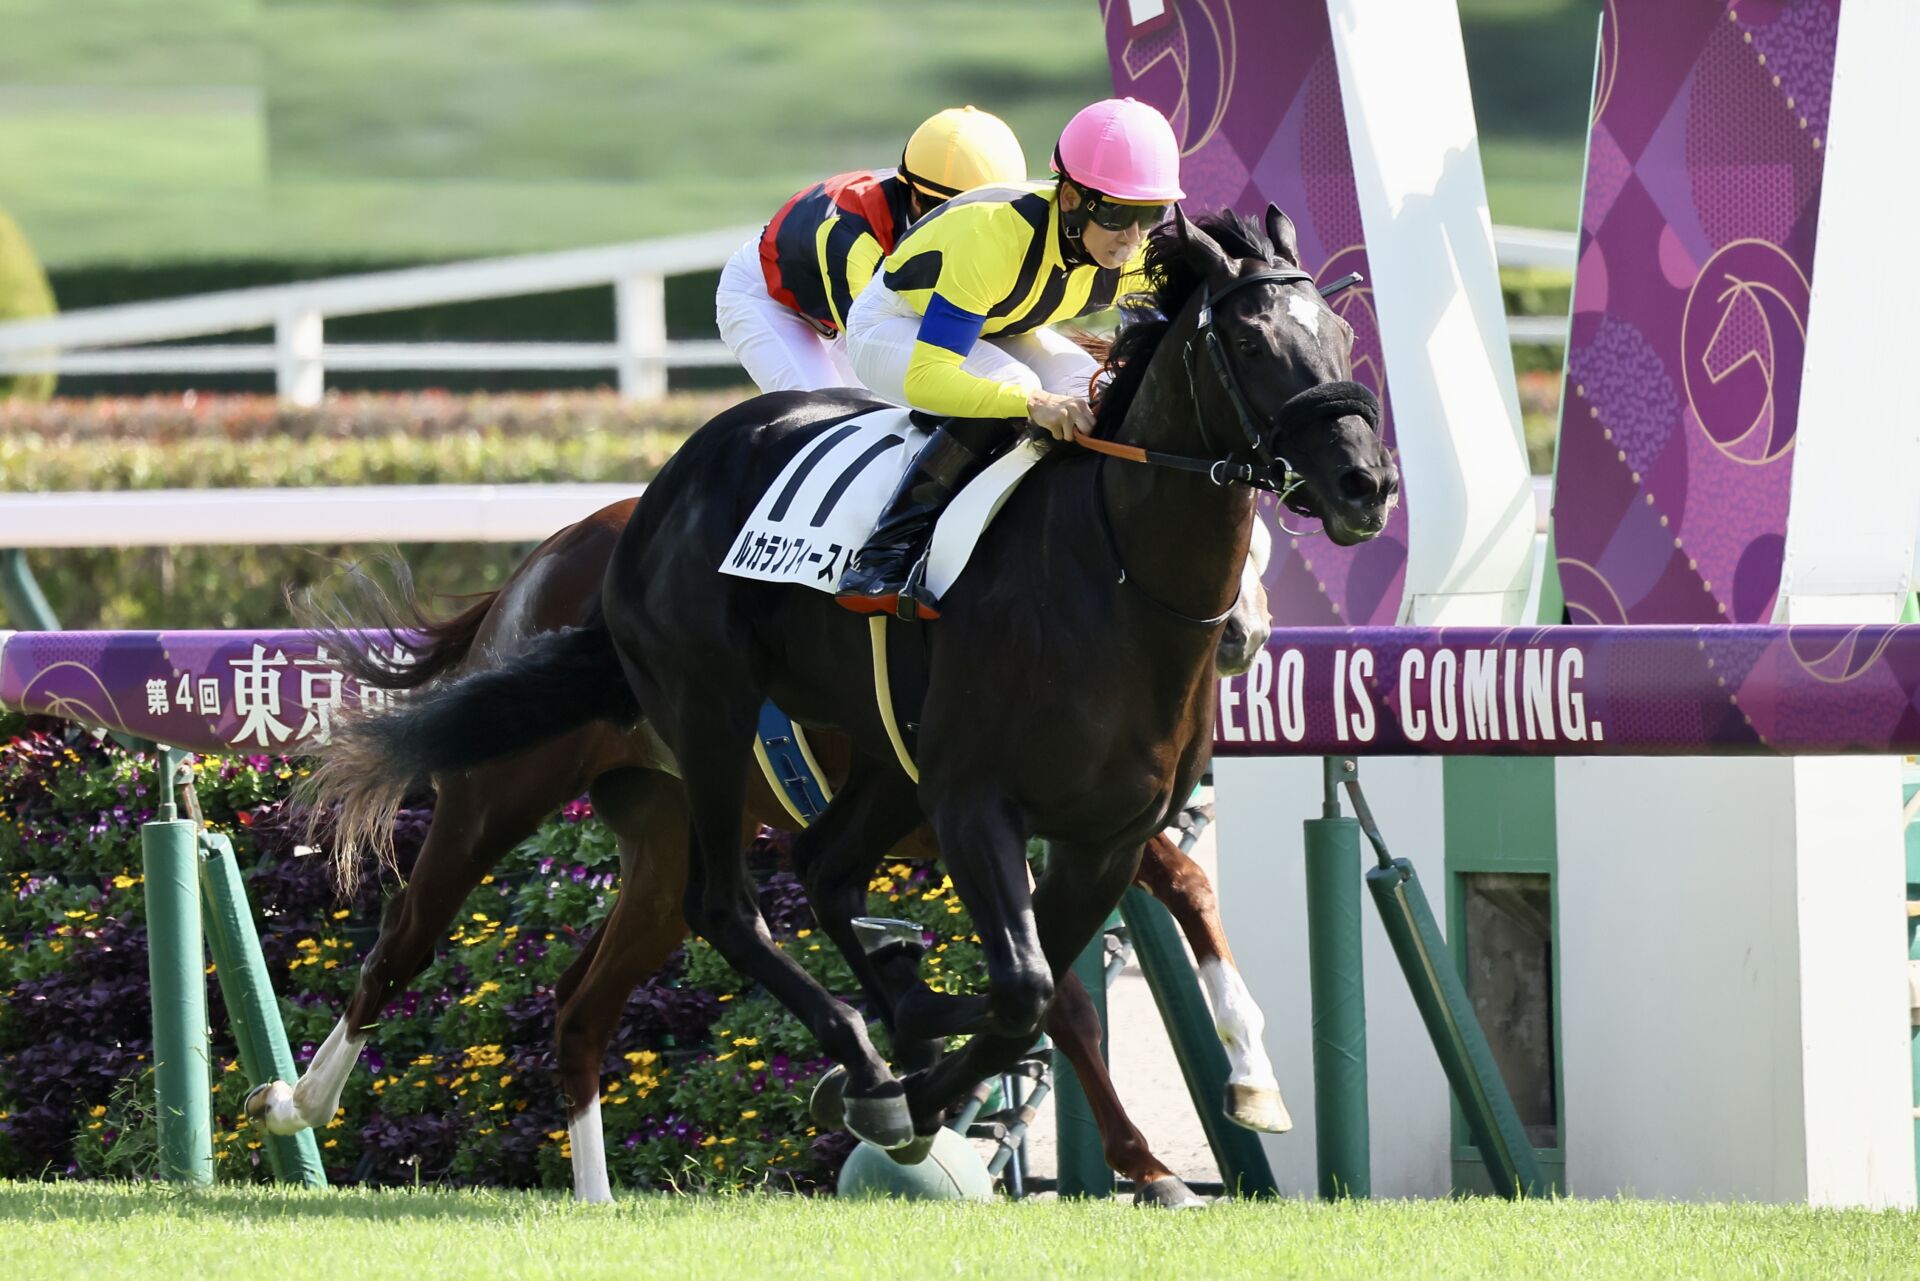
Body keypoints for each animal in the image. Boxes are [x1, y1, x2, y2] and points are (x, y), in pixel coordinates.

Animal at [260, 514, 1283, 1206]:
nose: (1244, 636)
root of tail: (542, 558)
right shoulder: (966, 807)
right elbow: (1059, 994)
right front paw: (1147, 1163)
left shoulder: (1092, 810)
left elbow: (1181, 887)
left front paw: (1247, 1078)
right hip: (496, 793)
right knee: (402, 940)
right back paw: (295, 1102)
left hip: (667, 834)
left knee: (584, 1004)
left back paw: (595, 1196)